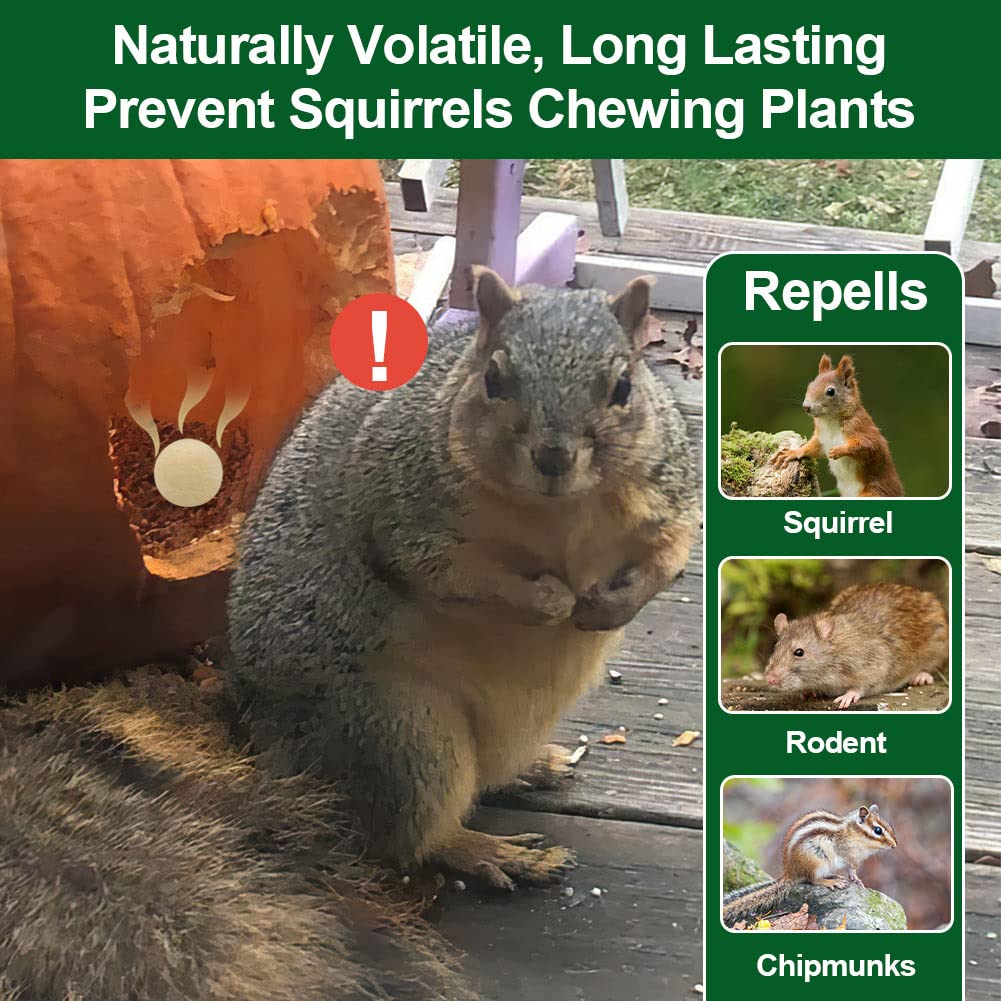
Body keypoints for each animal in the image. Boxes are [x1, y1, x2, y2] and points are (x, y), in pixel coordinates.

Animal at [226, 268, 699, 888]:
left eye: (624, 386)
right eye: (494, 378)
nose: (553, 458)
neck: (561, 511)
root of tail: (273, 749)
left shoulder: (668, 490)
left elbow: (673, 552)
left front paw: (609, 605)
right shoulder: (403, 512)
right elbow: (456, 575)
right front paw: (551, 601)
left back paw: (531, 768)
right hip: (399, 729)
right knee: (412, 836)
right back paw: (492, 852)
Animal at [722, 804, 898, 927]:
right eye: (878, 830)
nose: (894, 845)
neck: (853, 833)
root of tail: (790, 873)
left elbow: (851, 870)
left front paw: (856, 879)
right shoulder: (847, 852)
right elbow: (851, 865)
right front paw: (854, 877)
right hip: (816, 861)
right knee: (813, 879)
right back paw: (831, 881)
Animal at [764, 581, 947, 709]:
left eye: (799, 652)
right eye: (775, 648)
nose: (770, 679)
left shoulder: (874, 663)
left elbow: (864, 685)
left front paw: (849, 695)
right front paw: (808, 691)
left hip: (940, 642)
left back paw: (921, 675)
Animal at [772, 353, 904, 497]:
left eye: (831, 391)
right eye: (810, 385)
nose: (806, 407)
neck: (830, 420)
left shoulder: (860, 426)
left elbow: (869, 445)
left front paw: (839, 450)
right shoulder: (821, 437)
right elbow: (812, 448)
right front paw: (793, 452)